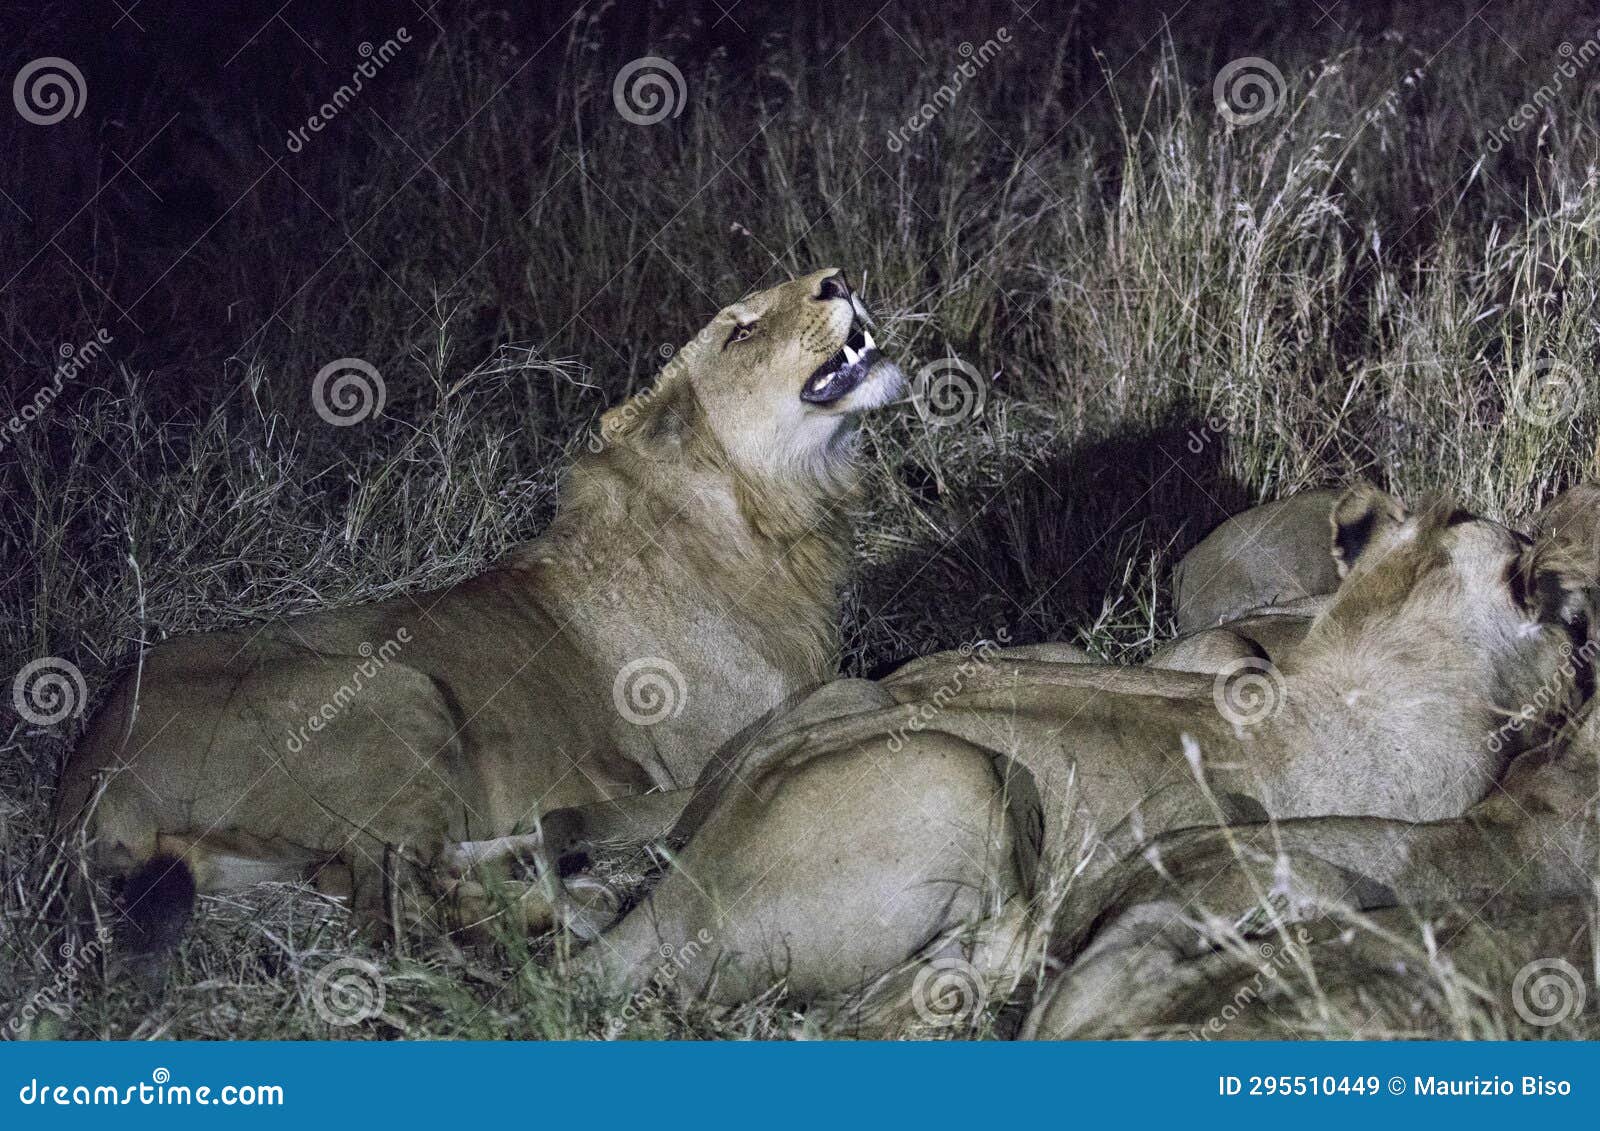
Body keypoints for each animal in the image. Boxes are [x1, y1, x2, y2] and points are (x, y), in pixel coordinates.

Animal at [54, 267, 903, 973]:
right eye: (741, 331)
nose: (836, 277)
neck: (774, 516)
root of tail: (83, 778)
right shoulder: (719, 749)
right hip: (391, 690)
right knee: (398, 910)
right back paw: (572, 910)